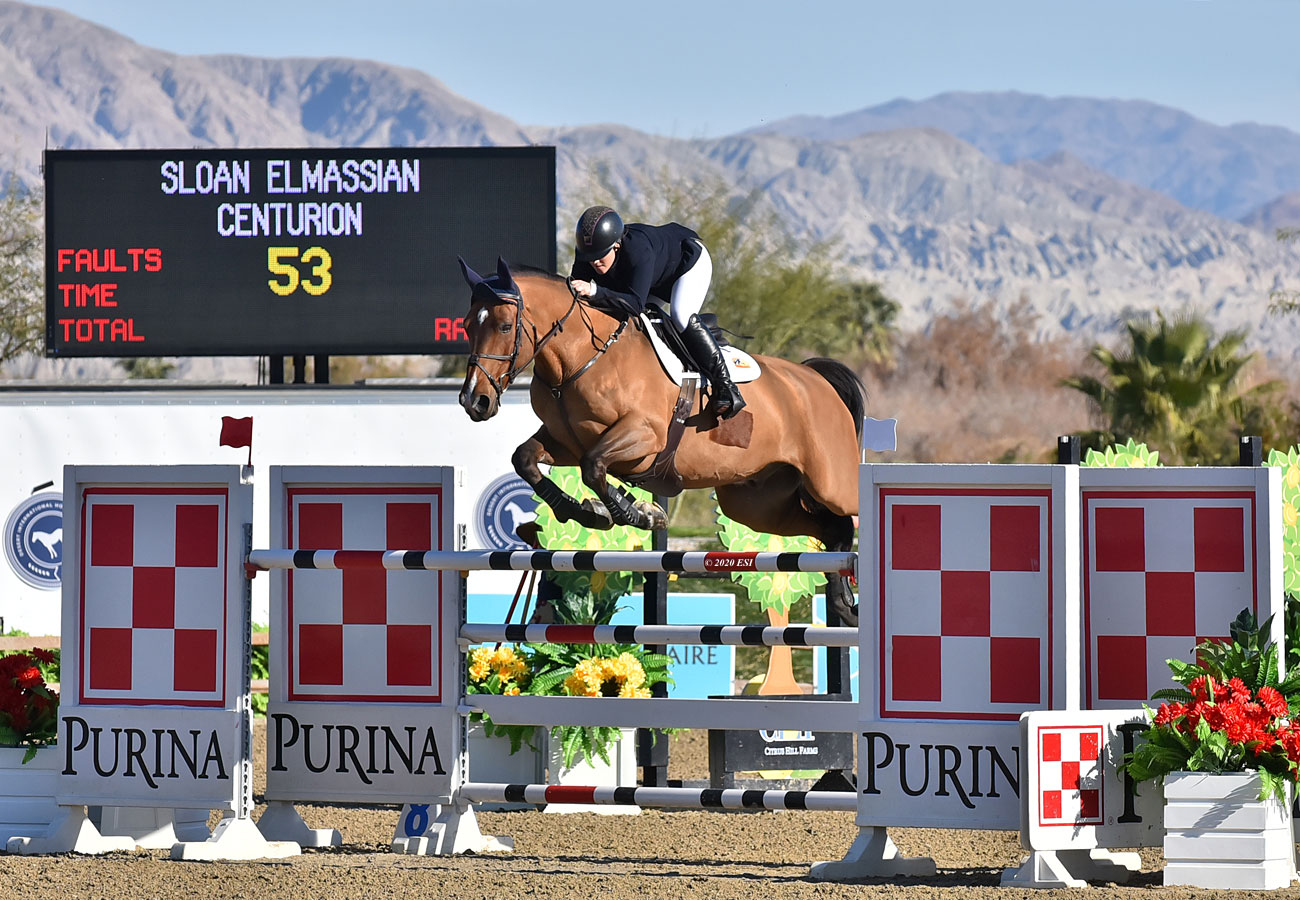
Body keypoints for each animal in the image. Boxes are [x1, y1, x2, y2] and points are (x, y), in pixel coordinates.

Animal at [456, 257, 866, 624]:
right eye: (466, 326)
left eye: (505, 326)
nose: (474, 401)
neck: (583, 358)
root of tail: (815, 378)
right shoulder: (564, 442)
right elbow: (525, 459)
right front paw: (586, 511)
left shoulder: (643, 438)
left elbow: (594, 466)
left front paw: (637, 512)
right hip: (756, 502)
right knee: (832, 529)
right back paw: (845, 604)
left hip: (831, 484)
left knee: (847, 513)